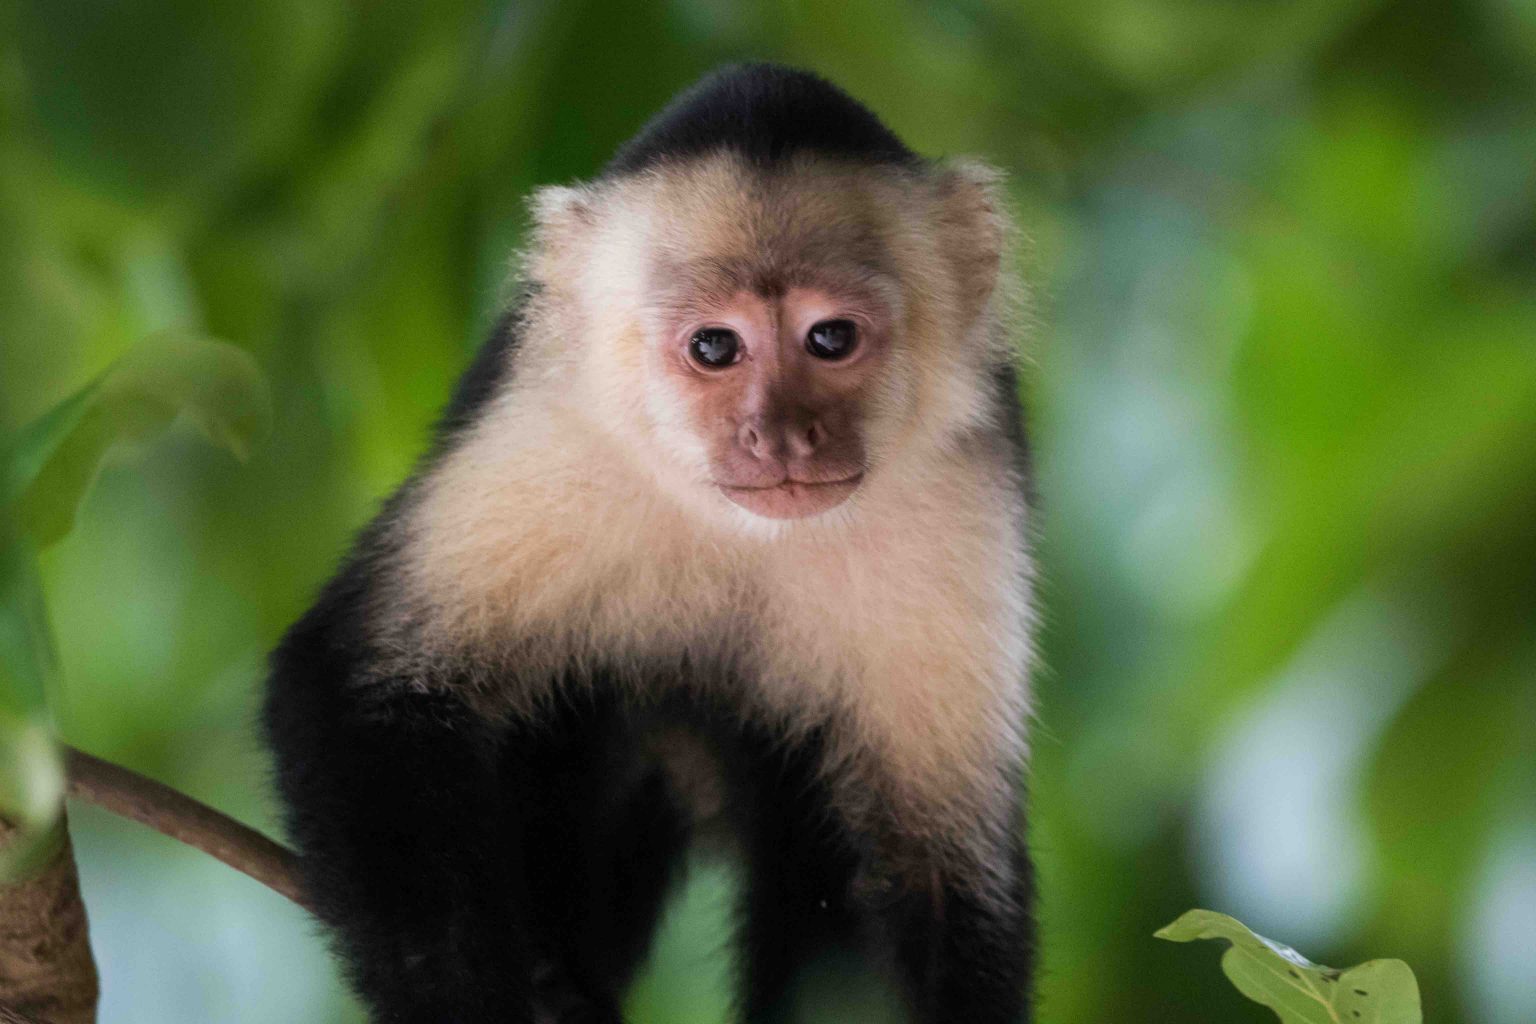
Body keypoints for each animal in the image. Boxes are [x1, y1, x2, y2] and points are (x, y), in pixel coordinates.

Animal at [263, 63, 1036, 1024]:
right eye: (714, 347)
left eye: (830, 338)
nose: (780, 439)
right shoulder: (554, 428)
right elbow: (355, 685)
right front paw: (476, 1005)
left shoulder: (964, 485)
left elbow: (933, 870)